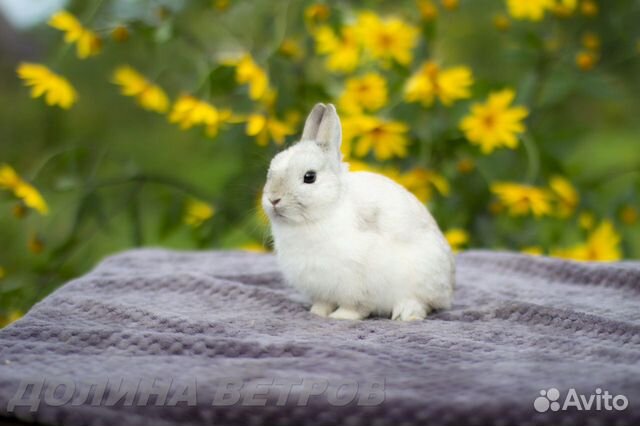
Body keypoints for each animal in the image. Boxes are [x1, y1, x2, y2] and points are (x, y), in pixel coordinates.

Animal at [262, 103, 455, 321]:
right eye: (270, 172)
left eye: (309, 177)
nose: (273, 199)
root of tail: (448, 286)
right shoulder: (321, 287)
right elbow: (323, 302)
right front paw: (317, 312)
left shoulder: (355, 284)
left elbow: (356, 306)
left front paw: (340, 317)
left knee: (423, 304)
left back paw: (405, 313)